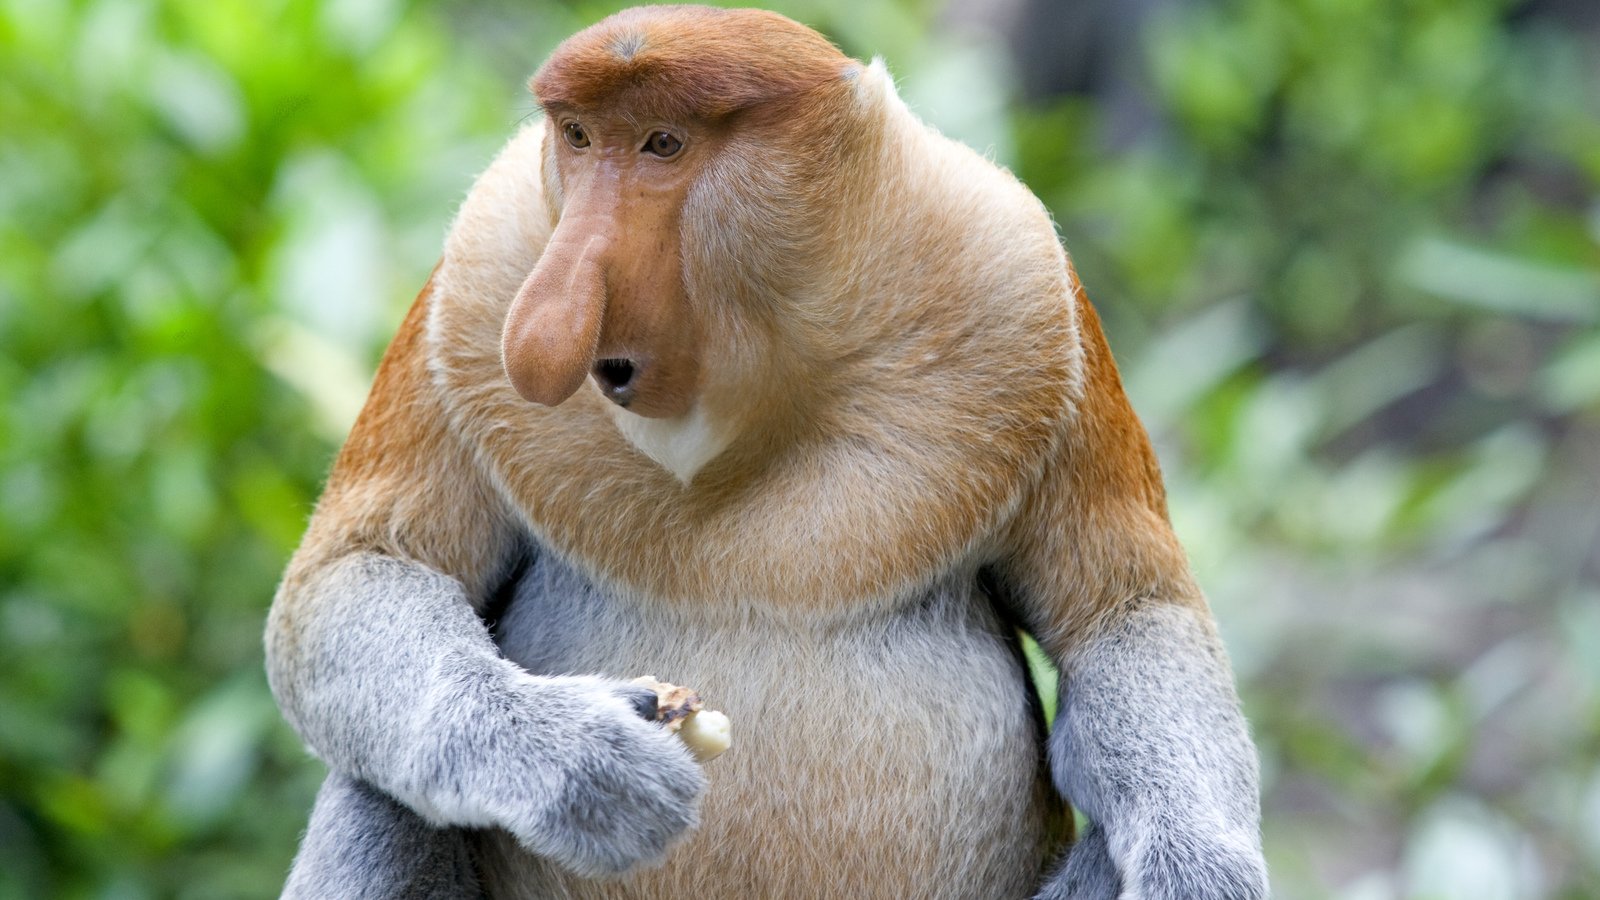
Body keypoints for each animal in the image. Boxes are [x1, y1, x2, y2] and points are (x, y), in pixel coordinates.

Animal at [264, 6, 1268, 899]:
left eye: (663, 145)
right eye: (579, 138)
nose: (541, 329)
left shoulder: (1021, 280)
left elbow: (1125, 614)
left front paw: (1199, 873)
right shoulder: (480, 272)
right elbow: (357, 574)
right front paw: (583, 761)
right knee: (382, 790)